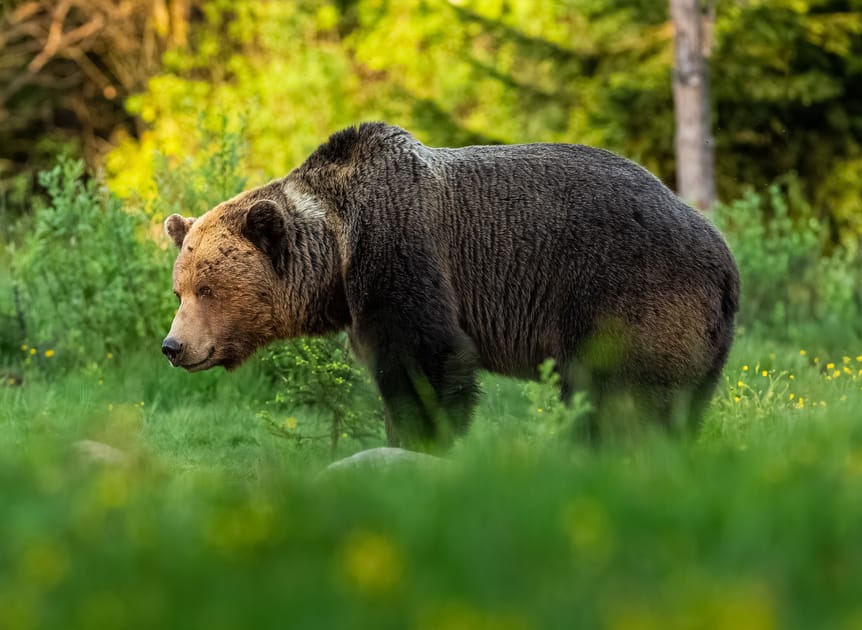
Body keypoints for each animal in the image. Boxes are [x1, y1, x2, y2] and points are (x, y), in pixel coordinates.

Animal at [162, 122, 739, 449]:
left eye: (208, 288)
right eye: (179, 290)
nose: (173, 346)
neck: (338, 255)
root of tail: (725, 260)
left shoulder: (400, 252)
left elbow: (426, 359)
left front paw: (423, 442)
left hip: (629, 294)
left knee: (621, 397)